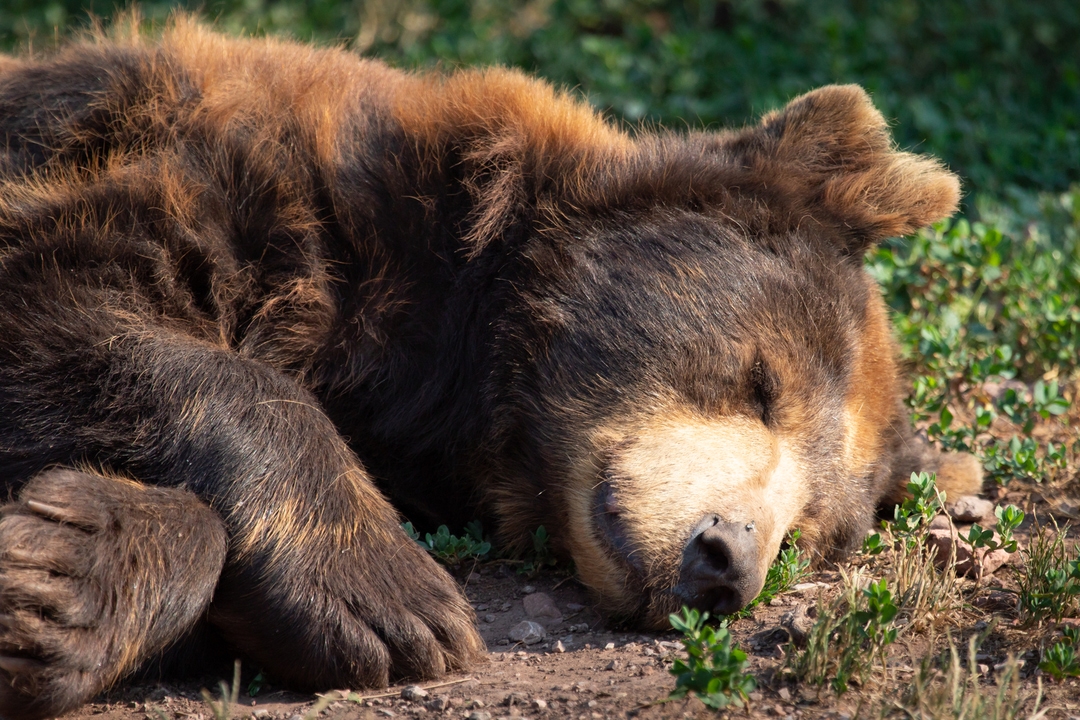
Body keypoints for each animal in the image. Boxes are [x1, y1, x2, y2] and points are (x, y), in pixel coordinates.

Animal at [0, 17, 982, 720]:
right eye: (760, 380)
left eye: (809, 533)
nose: (727, 562)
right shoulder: (202, 178)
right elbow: (79, 310)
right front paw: (388, 604)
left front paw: (58, 566)